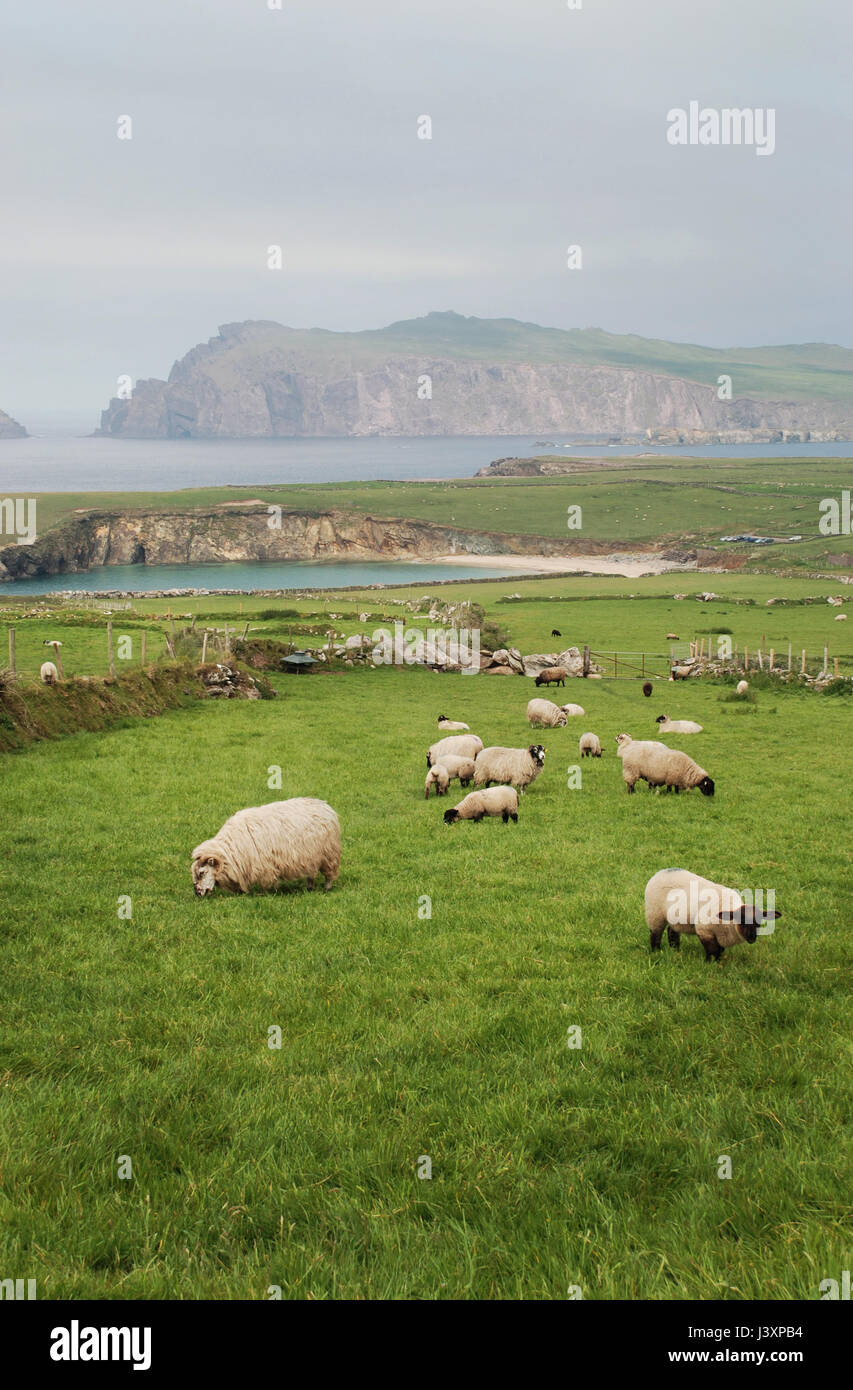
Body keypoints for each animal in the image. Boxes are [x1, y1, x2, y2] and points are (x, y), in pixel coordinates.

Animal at [191, 797, 341, 896]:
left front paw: (267, 894)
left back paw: (327, 888)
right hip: (311, 856)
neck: (231, 850)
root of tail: (325, 806)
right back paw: (309, 888)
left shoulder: (264, 867)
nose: (197, 893)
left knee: (329, 874)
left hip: (329, 854)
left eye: (202, 872)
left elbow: (267, 882)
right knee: (310, 873)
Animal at [645, 868, 779, 962]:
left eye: (759, 923)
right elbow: (712, 950)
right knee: (655, 935)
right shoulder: (704, 930)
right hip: (654, 914)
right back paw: (657, 951)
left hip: (675, 917)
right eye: (741, 920)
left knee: (672, 932)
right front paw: (710, 963)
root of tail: (661, 872)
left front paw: (718, 961)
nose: (752, 938)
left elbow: (719, 949)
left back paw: (676, 950)